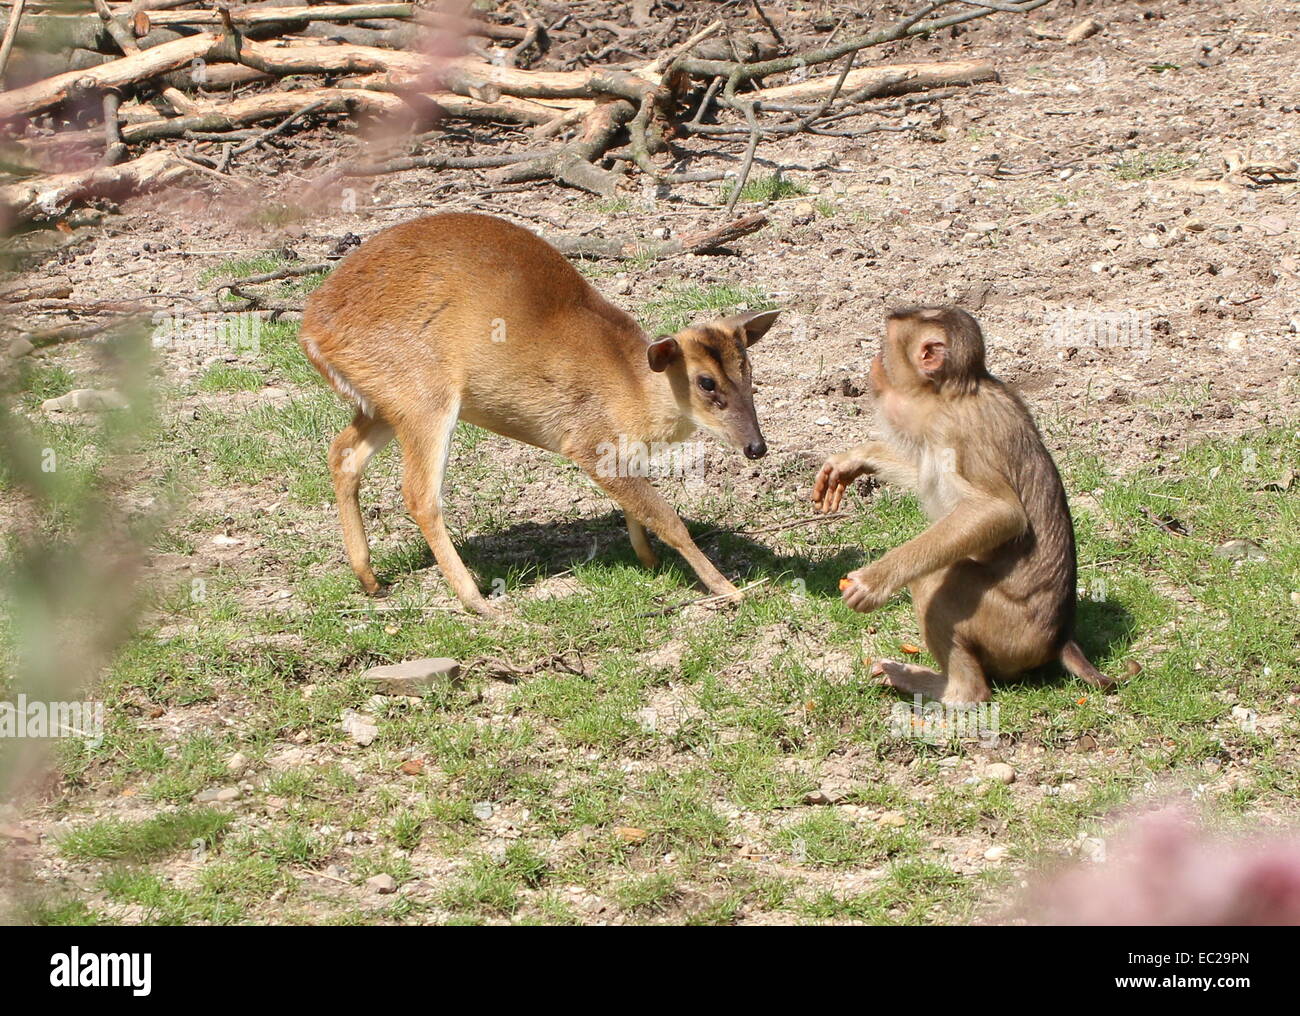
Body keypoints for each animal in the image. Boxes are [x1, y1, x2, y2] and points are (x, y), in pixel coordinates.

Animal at [810, 305, 1112, 704]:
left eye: (884, 346)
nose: (873, 363)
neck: (951, 392)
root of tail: (1061, 639)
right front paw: (857, 459)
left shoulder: (953, 431)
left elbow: (999, 512)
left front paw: (876, 580)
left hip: (1011, 630)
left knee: (934, 579)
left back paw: (956, 693)